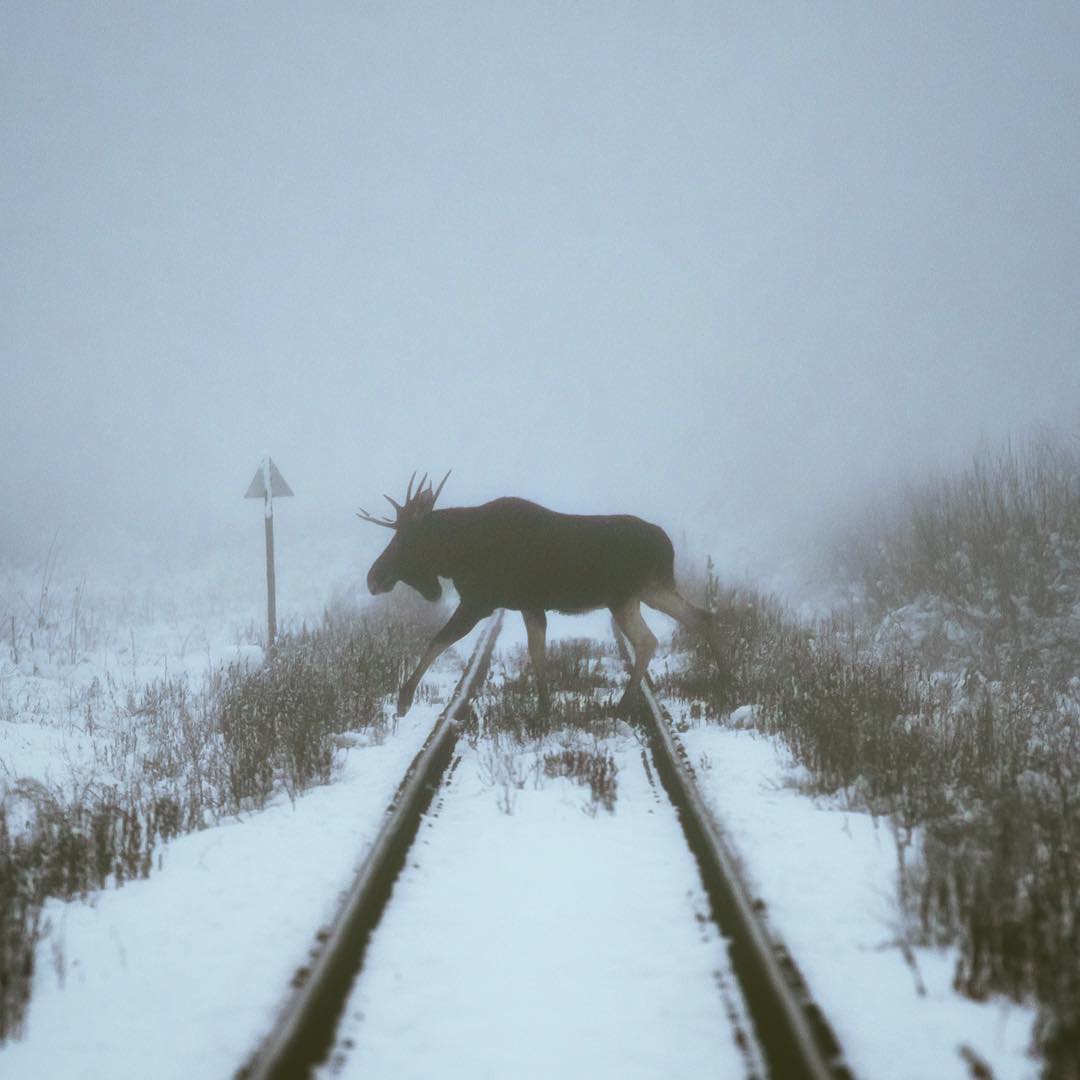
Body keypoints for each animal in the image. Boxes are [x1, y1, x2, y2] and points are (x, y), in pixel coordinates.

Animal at [358, 472, 723, 717]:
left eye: (404, 540)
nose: (373, 578)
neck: (457, 553)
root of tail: (667, 544)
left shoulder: (479, 602)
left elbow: (437, 641)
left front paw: (404, 700)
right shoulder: (528, 604)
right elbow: (537, 653)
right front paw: (546, 706)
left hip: (624, 597)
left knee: (649, 639)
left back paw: (623, 704)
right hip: (648, 590)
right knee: (700, 617)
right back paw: (723, 675)